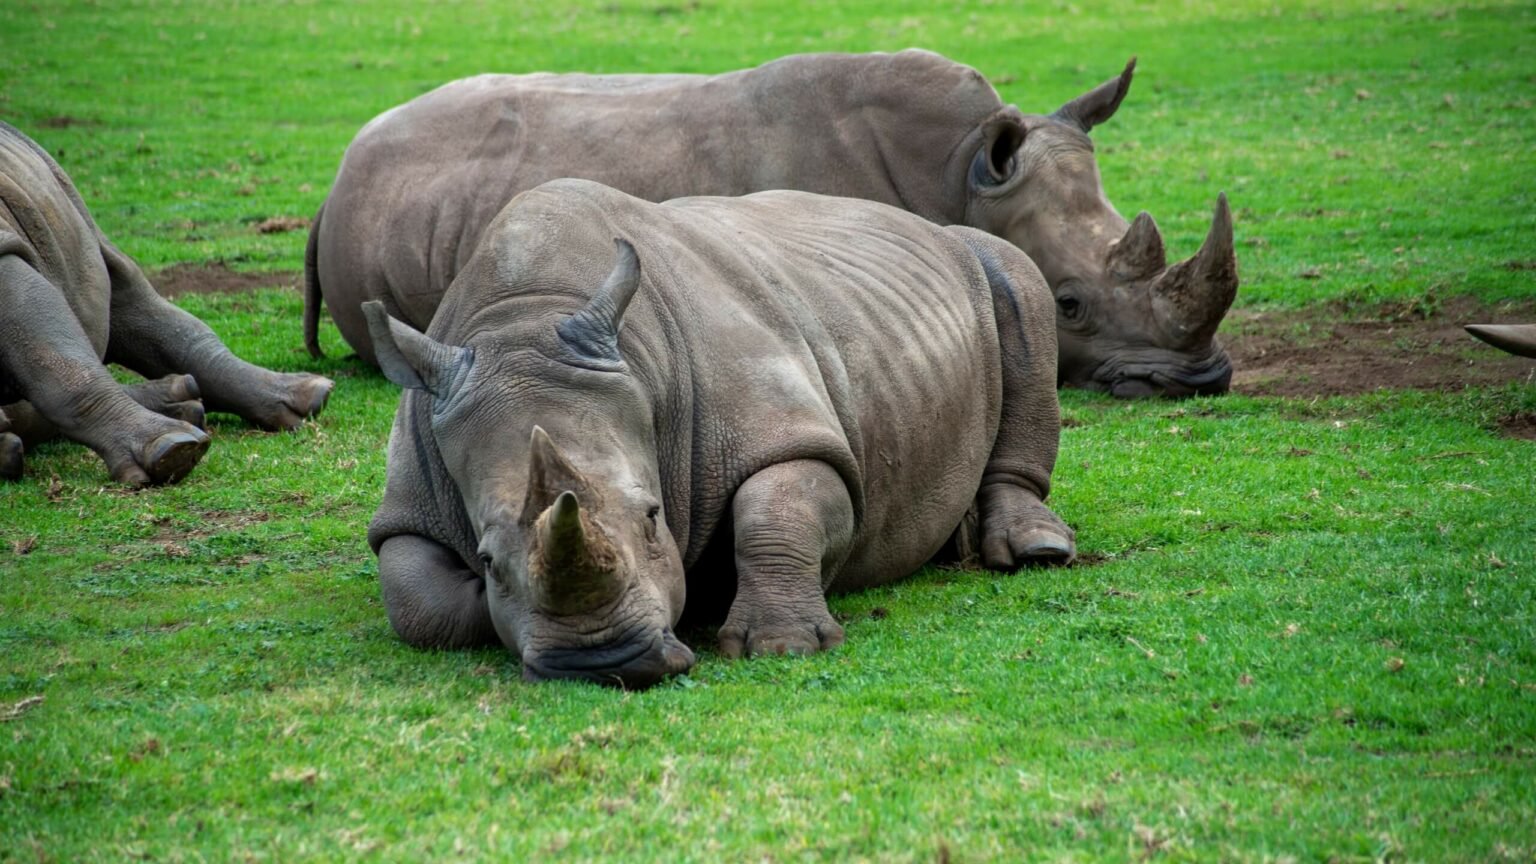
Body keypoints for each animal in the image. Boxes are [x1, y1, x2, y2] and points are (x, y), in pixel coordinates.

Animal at [0, 122, 333, 485]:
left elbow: (56, 357)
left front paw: (172, 450)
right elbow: (51, 355)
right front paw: (169, 449)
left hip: (64, 194)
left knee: (131, 297)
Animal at [363, 178, 1074, 688]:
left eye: (653, 517)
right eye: (486, 556)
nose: (602, 663)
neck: (524, 316)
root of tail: (916, 220)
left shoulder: (787, 427)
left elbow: (778, 507)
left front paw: (781, 645)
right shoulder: (410, 494)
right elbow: (418, 602)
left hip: (973, 255)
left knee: (1017, 279)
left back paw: (1036, 551)